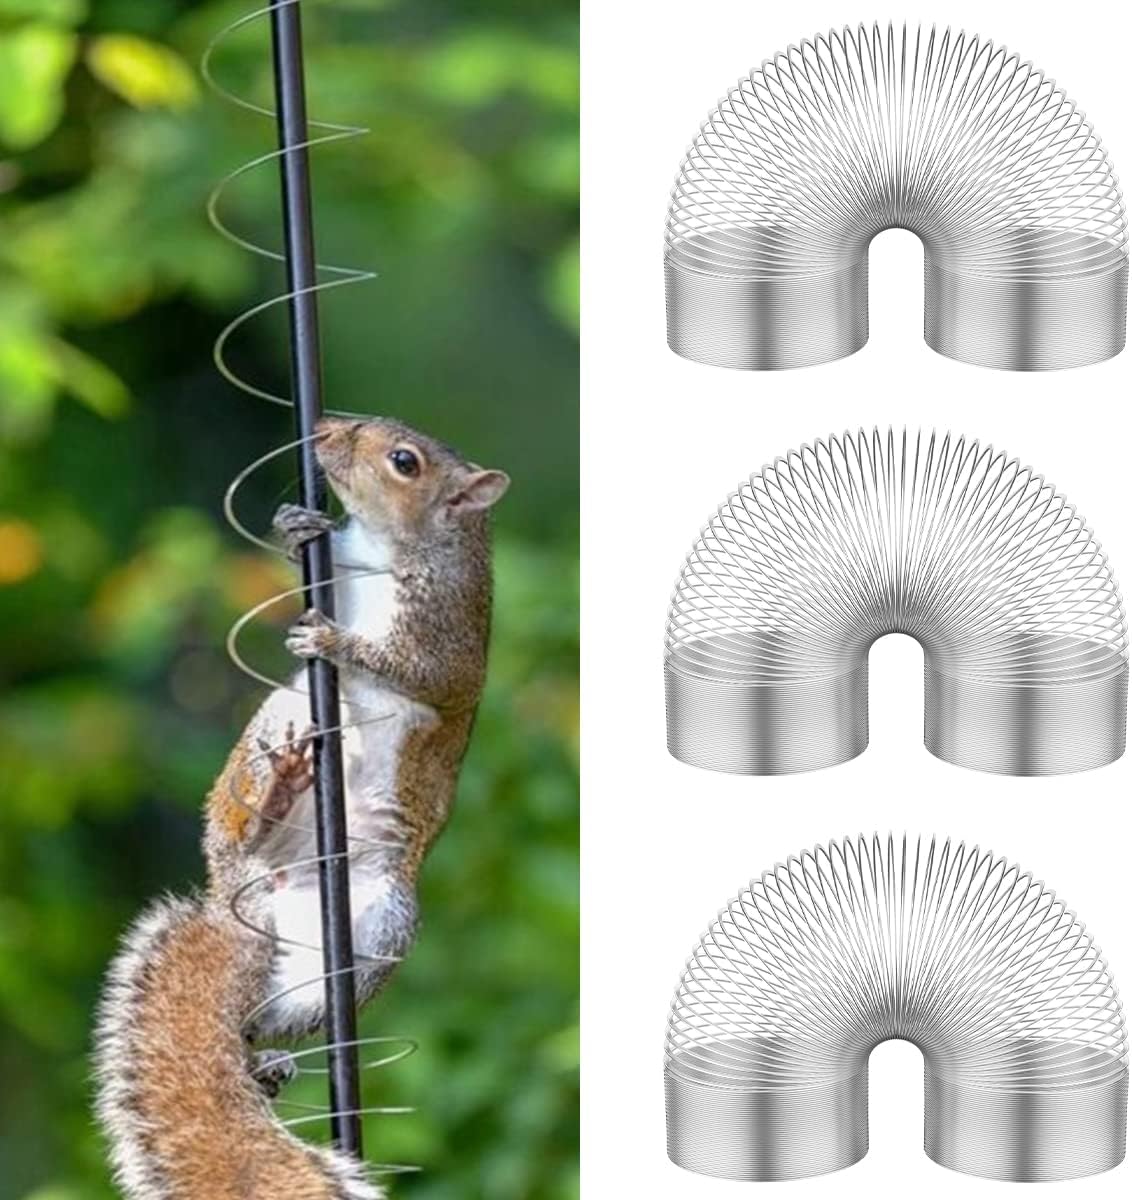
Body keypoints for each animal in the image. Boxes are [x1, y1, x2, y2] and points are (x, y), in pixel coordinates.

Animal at [94, 416, 509, 1197]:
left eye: (405, 461)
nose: (325, 428)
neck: (385, 546)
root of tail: (244, 900)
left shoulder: (445, 635)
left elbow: (412, 670)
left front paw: (336, 641)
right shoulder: (338, 568)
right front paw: (292, 527)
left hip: (373, 928)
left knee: (271, 1016)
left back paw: (263, 1062)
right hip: (278, 722)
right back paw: (277, 796)